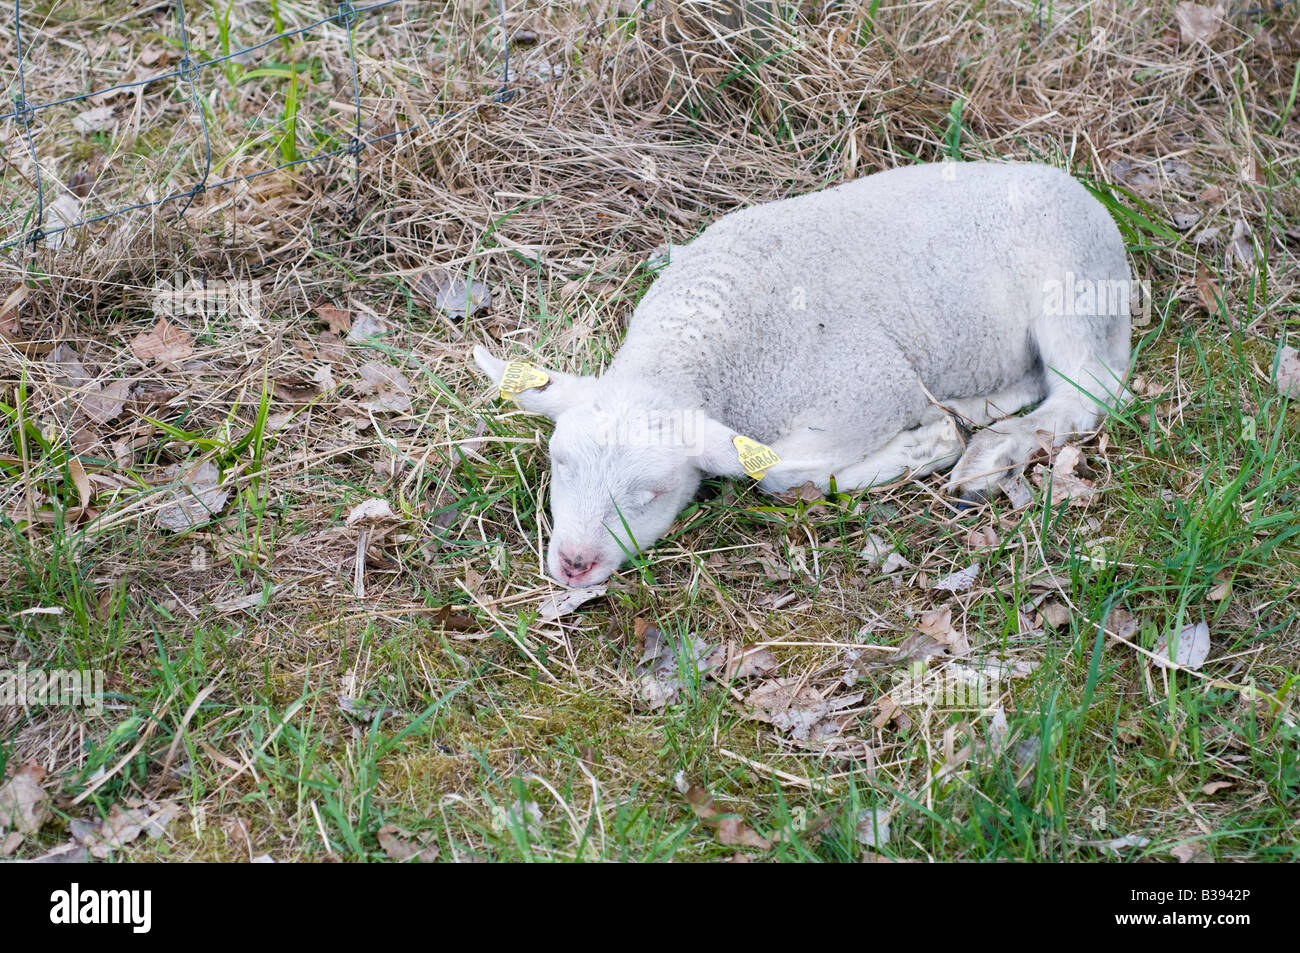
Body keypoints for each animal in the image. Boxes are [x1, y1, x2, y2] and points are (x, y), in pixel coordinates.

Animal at [474, 161, 1133, 587]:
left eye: (654, 493)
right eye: (560, 462)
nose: (574, 564)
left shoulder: (866, 384)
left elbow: (778, 474)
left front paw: (924, 447)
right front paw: (931, 435)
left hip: (1070, 278)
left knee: (1089, 390)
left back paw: (985, 455)